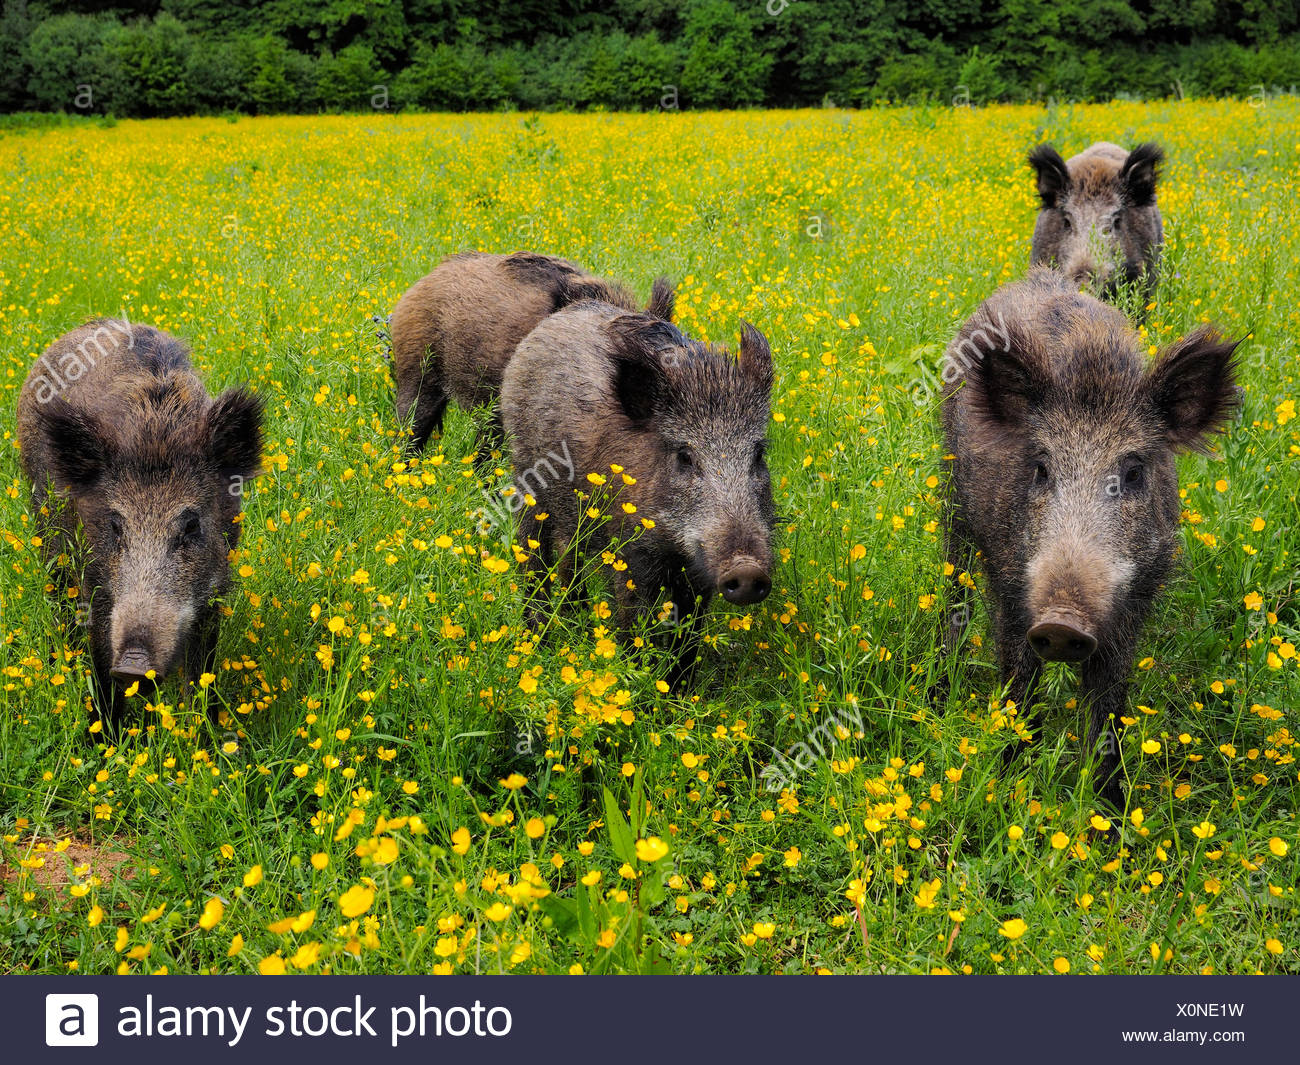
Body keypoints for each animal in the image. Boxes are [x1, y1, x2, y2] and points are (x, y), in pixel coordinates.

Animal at [16, 318, 264, 723]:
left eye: (191, 525)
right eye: (116, 526)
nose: (134, 665)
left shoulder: (214, 590)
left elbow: (201, 675)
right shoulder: (97, 586)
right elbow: (101, 669)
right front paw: (103, 735)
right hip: (44, 527)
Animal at [500, 301, 775, 686]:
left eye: (758, 454)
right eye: (685, 456)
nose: (748, 570)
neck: (674, 549)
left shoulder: (699, 575)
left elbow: (688, 639)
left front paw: (677, 692)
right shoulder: (630, 556)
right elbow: (632, 626)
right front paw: (636, 682)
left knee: (568, 557)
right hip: (526, 480)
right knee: (532, 556)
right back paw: (538, 639)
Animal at [939, 268, 1240, 810]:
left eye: (1134, 472)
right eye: (1041, 468)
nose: (1062, 622)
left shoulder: (1133, 606)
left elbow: (1110, 709)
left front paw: (1109, 814)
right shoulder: (1013, 591)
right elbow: (1019, 688)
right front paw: (1010, 787)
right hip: (952, 499)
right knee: (955, 588)